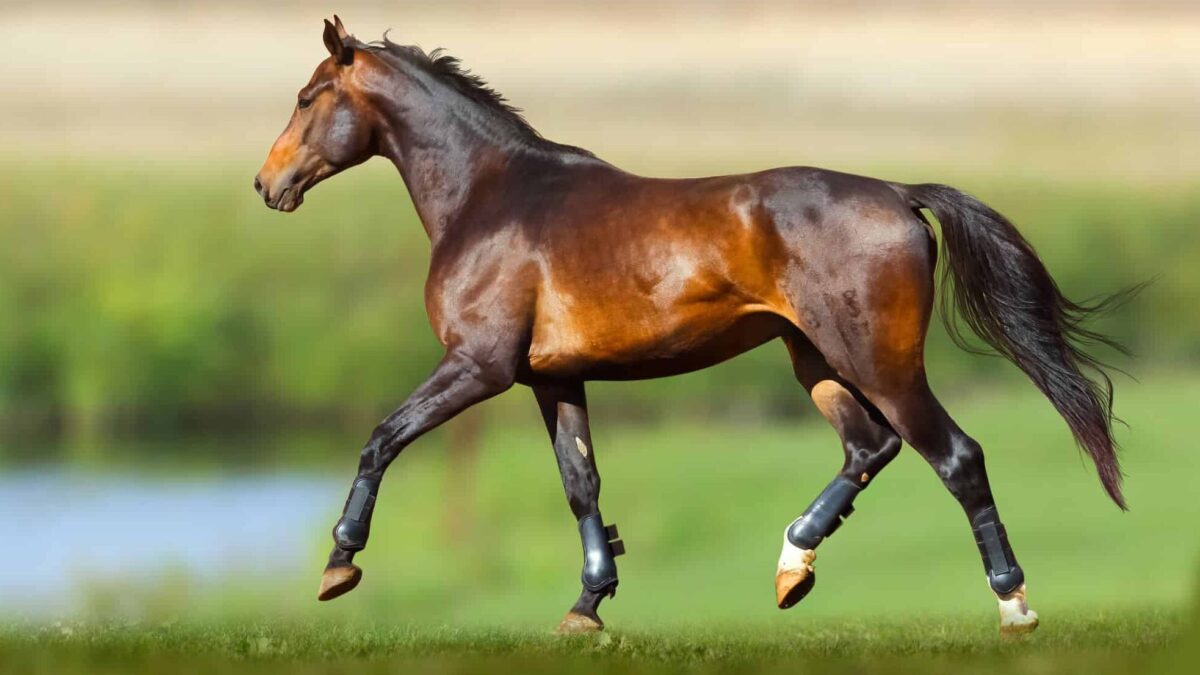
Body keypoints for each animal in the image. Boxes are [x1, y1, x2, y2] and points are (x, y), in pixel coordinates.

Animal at [255, 16, 1131, 635]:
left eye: (305, 97)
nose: (268, 185)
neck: (492, 196)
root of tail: (897, 192)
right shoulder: (551, 376)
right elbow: (580, 483)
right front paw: (588, 605)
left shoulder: (479, 366)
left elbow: (382, 436)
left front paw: (339, 563)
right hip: (815, 360)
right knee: (867, 447)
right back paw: (792, 566)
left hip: (878, 362)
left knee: (954, 456)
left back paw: (1013, 604)